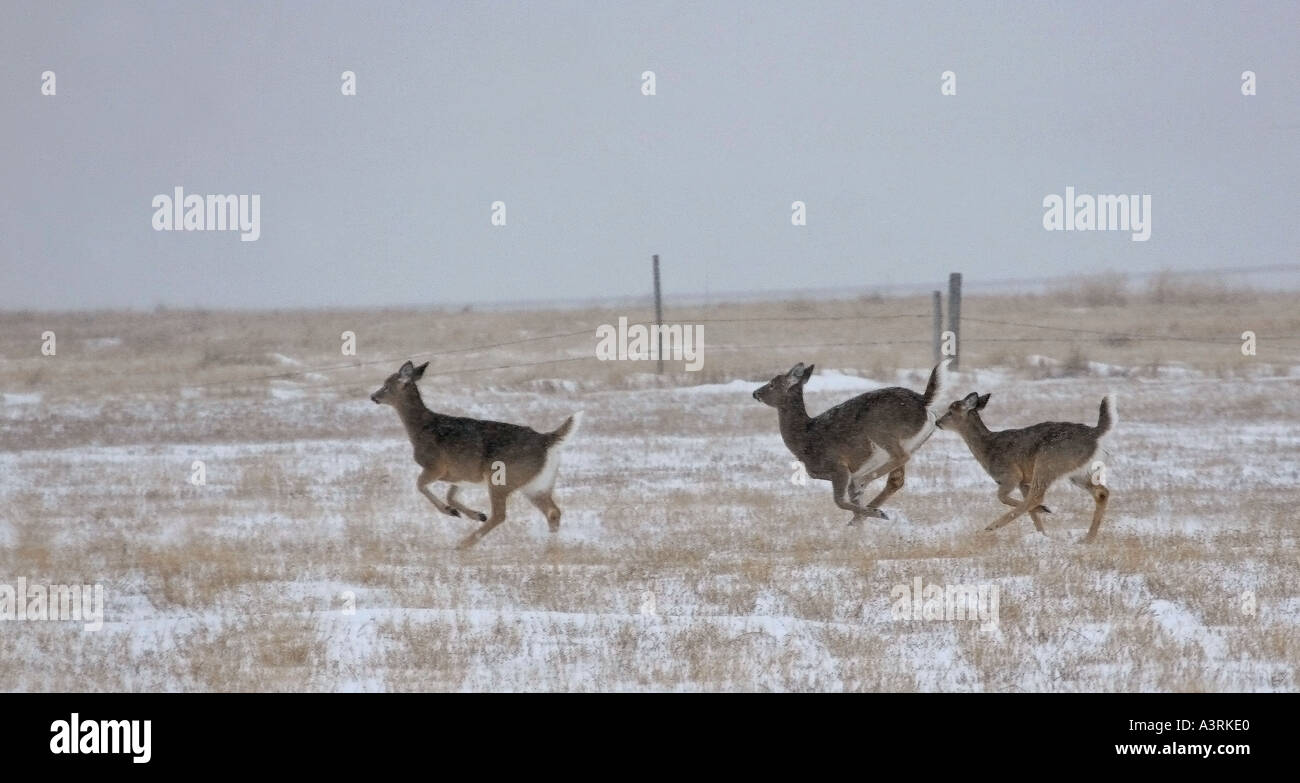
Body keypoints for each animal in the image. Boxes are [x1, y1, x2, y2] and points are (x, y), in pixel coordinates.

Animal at [370, 360, 583, 549]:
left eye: (386, 386)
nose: (373, 397)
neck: (421, 429)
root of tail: (546, 441)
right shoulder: (461, 475)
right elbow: (450, 495)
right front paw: (474, 514)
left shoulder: (436, 465)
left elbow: (420, 485)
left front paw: (452, 512)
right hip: (537, 484)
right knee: (553, 511)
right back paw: (551, 544)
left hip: (502, 478)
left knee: (501, 515)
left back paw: (463, 544)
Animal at [752, 359, 950, 524]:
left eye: (772, 384)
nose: (755, 393)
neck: (804, 438)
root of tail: (923, 401)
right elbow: (852, 501)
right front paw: (860, 524)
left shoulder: (837, 465)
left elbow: (839, 501)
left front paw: (871, 515)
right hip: (913, 442)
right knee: (896, 479)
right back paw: (865, 509)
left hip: (881, 430)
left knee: (900, 457)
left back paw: (866, 494)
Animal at [935, 391, 1115, 541]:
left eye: (950, 412)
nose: (937, 422)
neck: (987, 447)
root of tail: (1095, 434)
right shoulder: (1023, 482)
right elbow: (1028, 509)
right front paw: (1042, 533)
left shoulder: (1011, 475)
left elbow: (1002, 497)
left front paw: (1043, 513)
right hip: (1078, 472)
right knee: (1101, 492)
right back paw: (1088, 539)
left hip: (1048, 462)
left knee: (1037, 496)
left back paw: (989, 528)